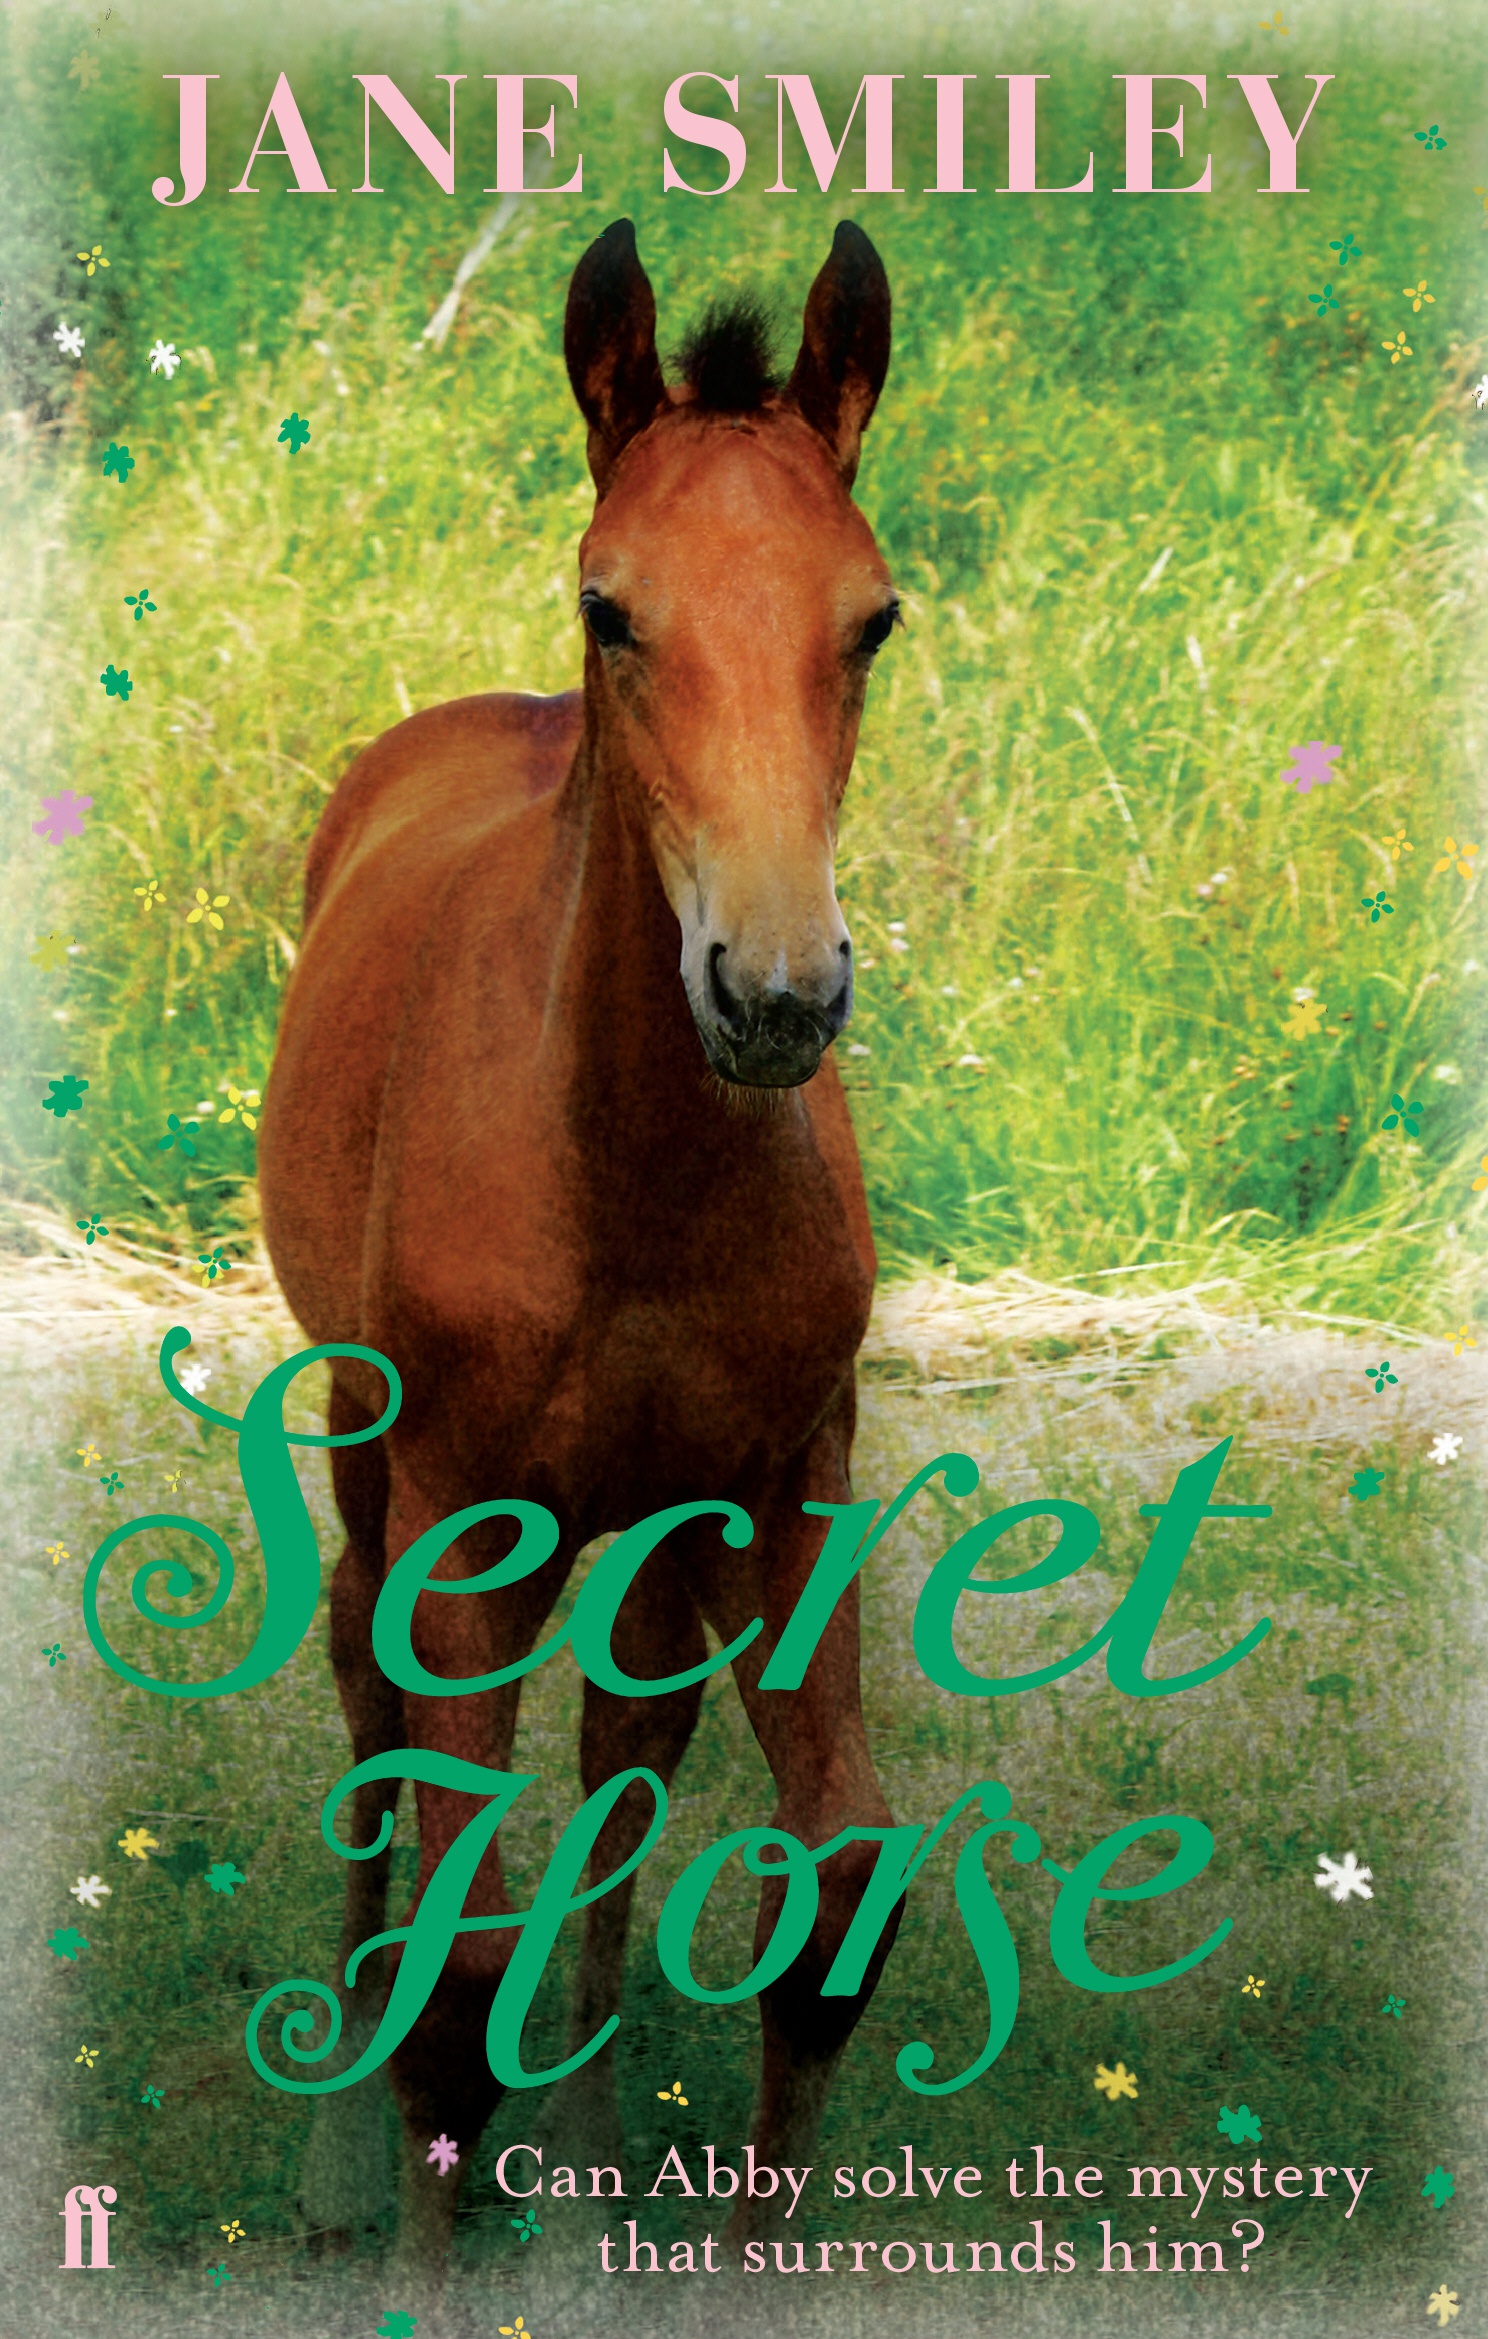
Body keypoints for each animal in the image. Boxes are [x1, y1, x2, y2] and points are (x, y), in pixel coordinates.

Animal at [257, 216, 900, 2274]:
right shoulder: (466, 1518)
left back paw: (603, 2149)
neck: (629, 1173)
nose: (775, 994)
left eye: (871, 621)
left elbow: (832, 1900)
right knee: (363, 1701)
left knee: (630, 1745)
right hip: (369, 1445)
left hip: (645, 1526)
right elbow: (453, 1998)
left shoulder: (779, 1479)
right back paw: (331, 2158)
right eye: (610, 608)